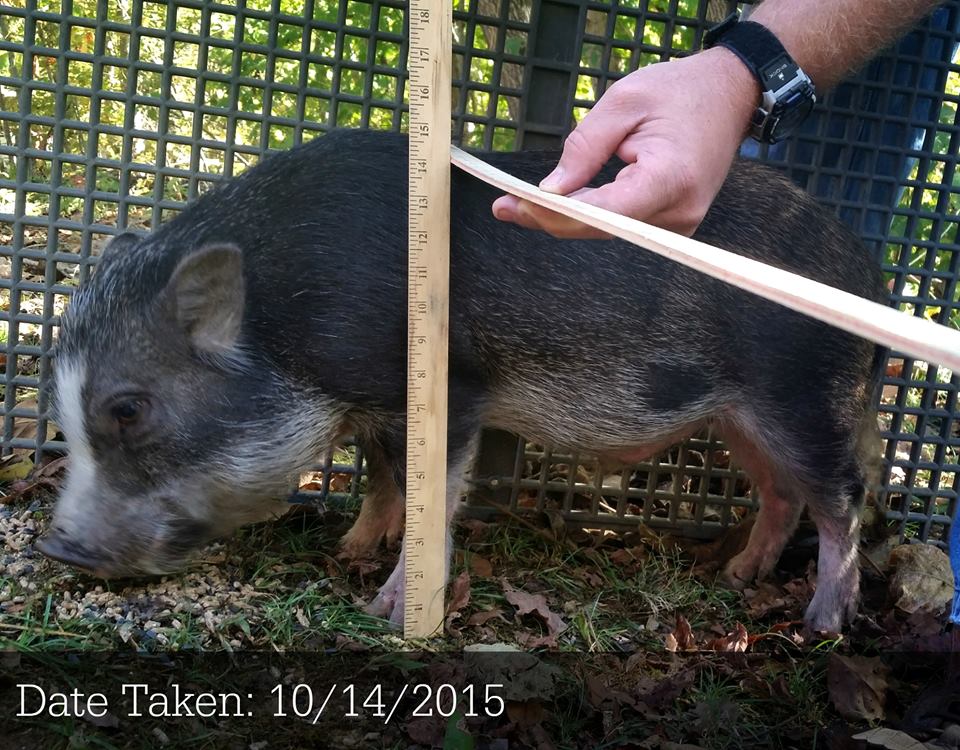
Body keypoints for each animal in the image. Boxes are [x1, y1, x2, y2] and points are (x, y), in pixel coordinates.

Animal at [37, 128, 885, 634]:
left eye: (128, 408)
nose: (57, 547)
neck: (285, 320)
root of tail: (868, 270)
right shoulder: (373, 405)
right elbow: (385, 477)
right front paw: (351, 546)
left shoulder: (451, 389)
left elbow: (433, 489)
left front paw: (388, 609)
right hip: (740, 418)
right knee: (783, 494)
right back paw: (738, 576)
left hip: (809, 393)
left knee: (845, 497)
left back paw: (823, 623)